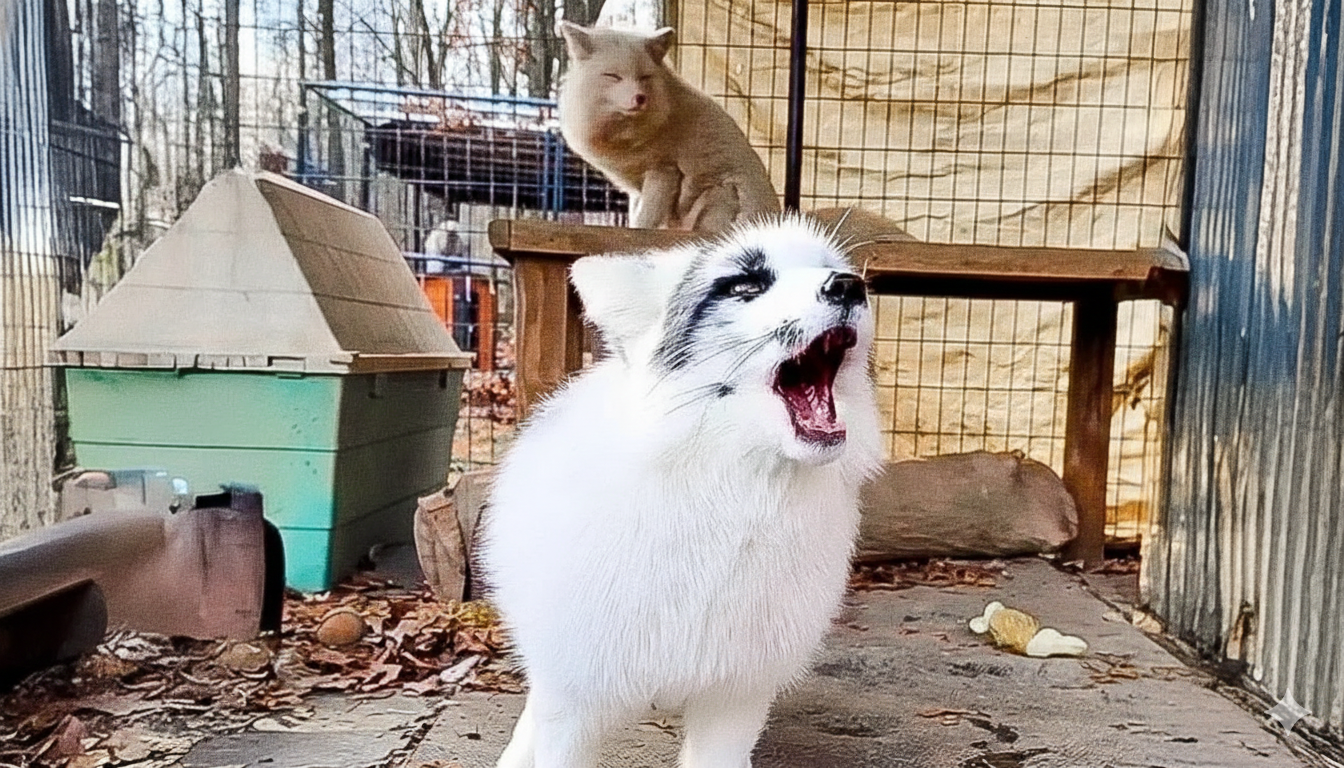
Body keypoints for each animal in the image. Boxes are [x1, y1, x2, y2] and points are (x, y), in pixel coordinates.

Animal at [556, 21, 782, 234]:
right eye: (613, 76)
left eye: (645, 77)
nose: (640, 98)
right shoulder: (636, 189)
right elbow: (637, 212)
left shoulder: (664, 171)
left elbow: (646, 218)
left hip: (719, 193)